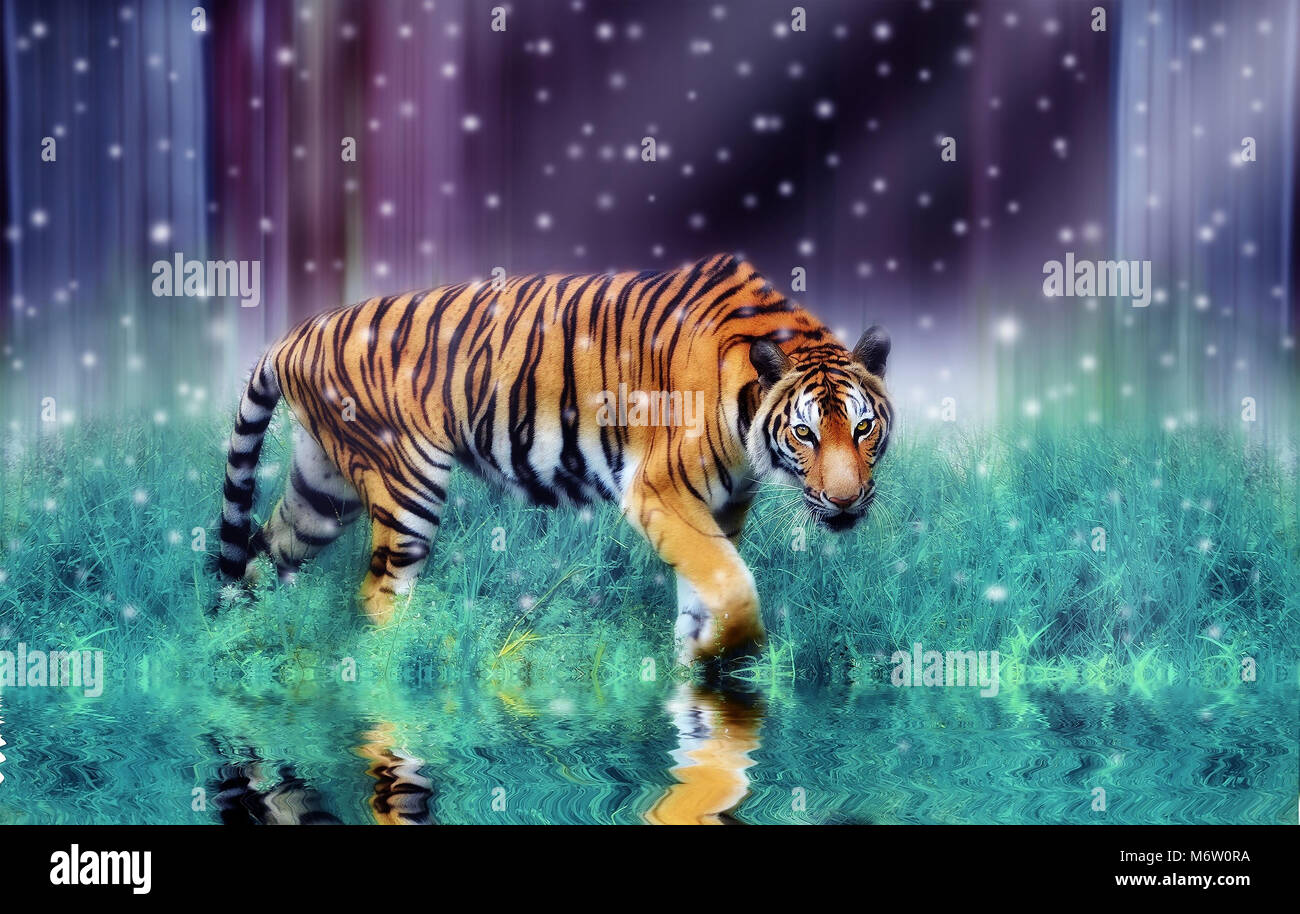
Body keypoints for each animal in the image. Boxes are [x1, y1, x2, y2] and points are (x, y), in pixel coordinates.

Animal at [218, 253, 892, 666]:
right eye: (804, 434)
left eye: (863, 428)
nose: (846, 500)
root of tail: (294, 335)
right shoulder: (660, 491)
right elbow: (732, 586)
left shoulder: (720, 509)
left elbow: (705, 588)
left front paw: (693, 670)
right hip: (407, 485)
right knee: (378, 594)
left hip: (323, 492)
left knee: (260, 553)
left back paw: (244, 640)